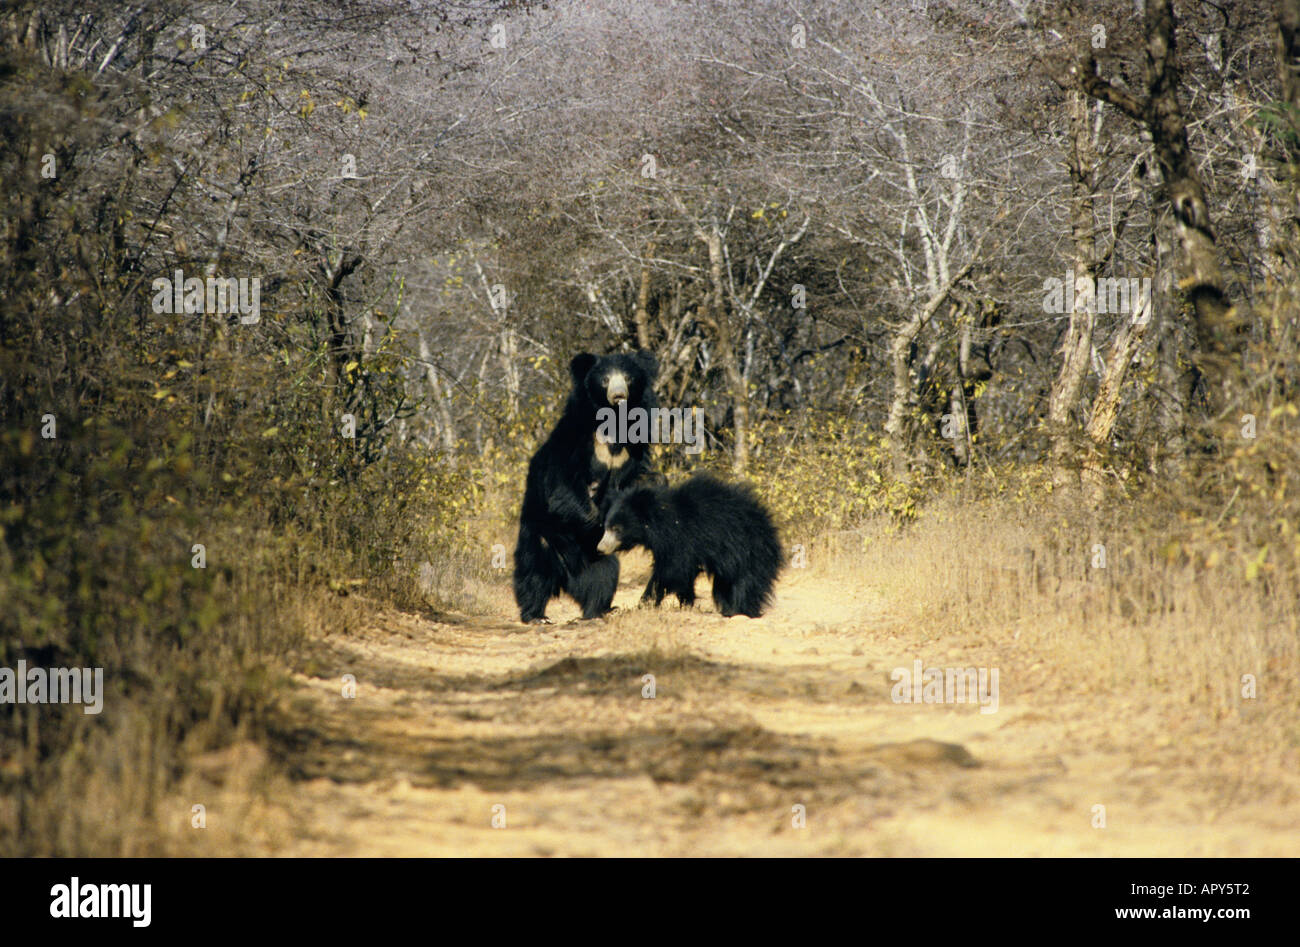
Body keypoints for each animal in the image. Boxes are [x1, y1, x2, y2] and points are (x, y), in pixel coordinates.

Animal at [513, 350, 662, 623]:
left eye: (628, 378)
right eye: (605, 379)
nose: (619, 395)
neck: (614, 422)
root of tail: (567, 572)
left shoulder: (634, 445)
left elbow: (636, 478)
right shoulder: (576, 439)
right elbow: (562, 486)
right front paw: (596, 521)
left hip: (592, 558)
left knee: (603, 574)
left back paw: (598, 610)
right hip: (540, 534)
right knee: (534, 573)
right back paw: (535, 615)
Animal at [596, 472, 782, 618]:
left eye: (616, 529)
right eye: (606, 526)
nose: (600, 548)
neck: (658, 522)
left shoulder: (681, 537)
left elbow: (672, 571)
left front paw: (644, 604)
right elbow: (683, 574)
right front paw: (686, 603)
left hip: (749, 552)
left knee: (745, 585)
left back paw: (739, 611)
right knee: (723, 587)